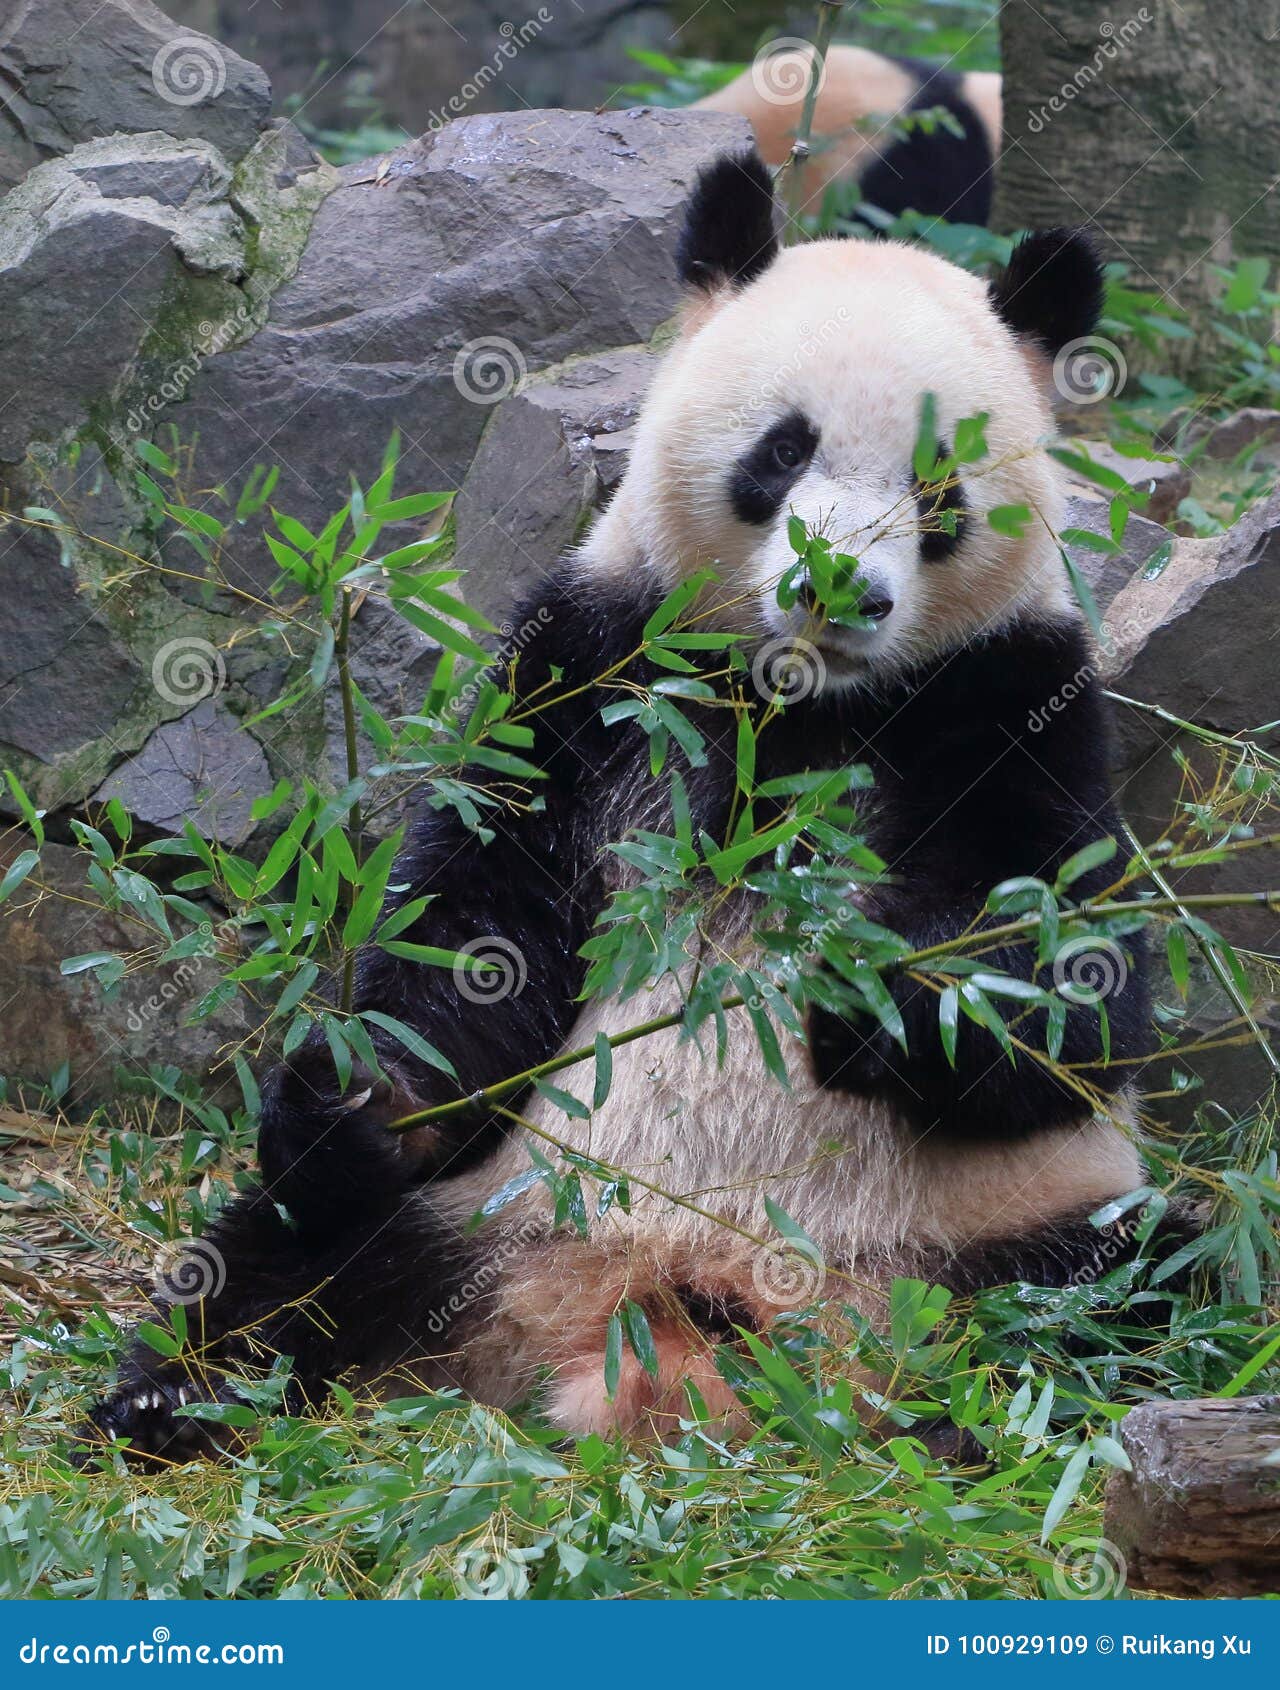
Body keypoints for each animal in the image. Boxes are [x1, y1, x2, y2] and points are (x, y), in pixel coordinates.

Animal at [89, 149, 1189, 1461]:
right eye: (782, 451)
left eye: (938, 490)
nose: (839, 589)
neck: (796, 704)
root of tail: (634, 1316)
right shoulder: (592, 665)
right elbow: (482, 923)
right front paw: (378, 1084)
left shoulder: (1011, 699)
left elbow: (1076, 989)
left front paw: (865, 987)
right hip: (480, 1199)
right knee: (293, 1242)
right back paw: (170, 1389)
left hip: (1005, 1227)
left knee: (1142, 1282)